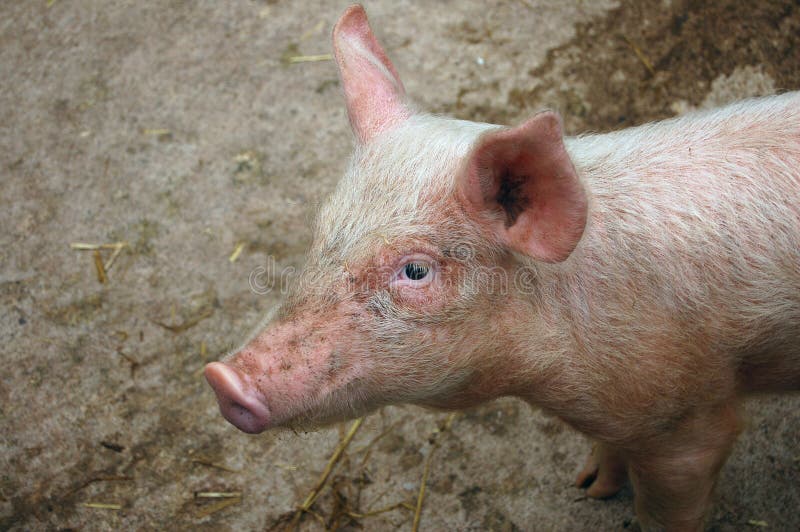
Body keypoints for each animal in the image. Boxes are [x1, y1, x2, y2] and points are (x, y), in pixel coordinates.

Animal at [205, 5, 800, 530]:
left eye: (415, 271)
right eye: (322, 229)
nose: (222, 378)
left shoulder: (690, 421)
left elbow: (669, 507)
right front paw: (588, 486)